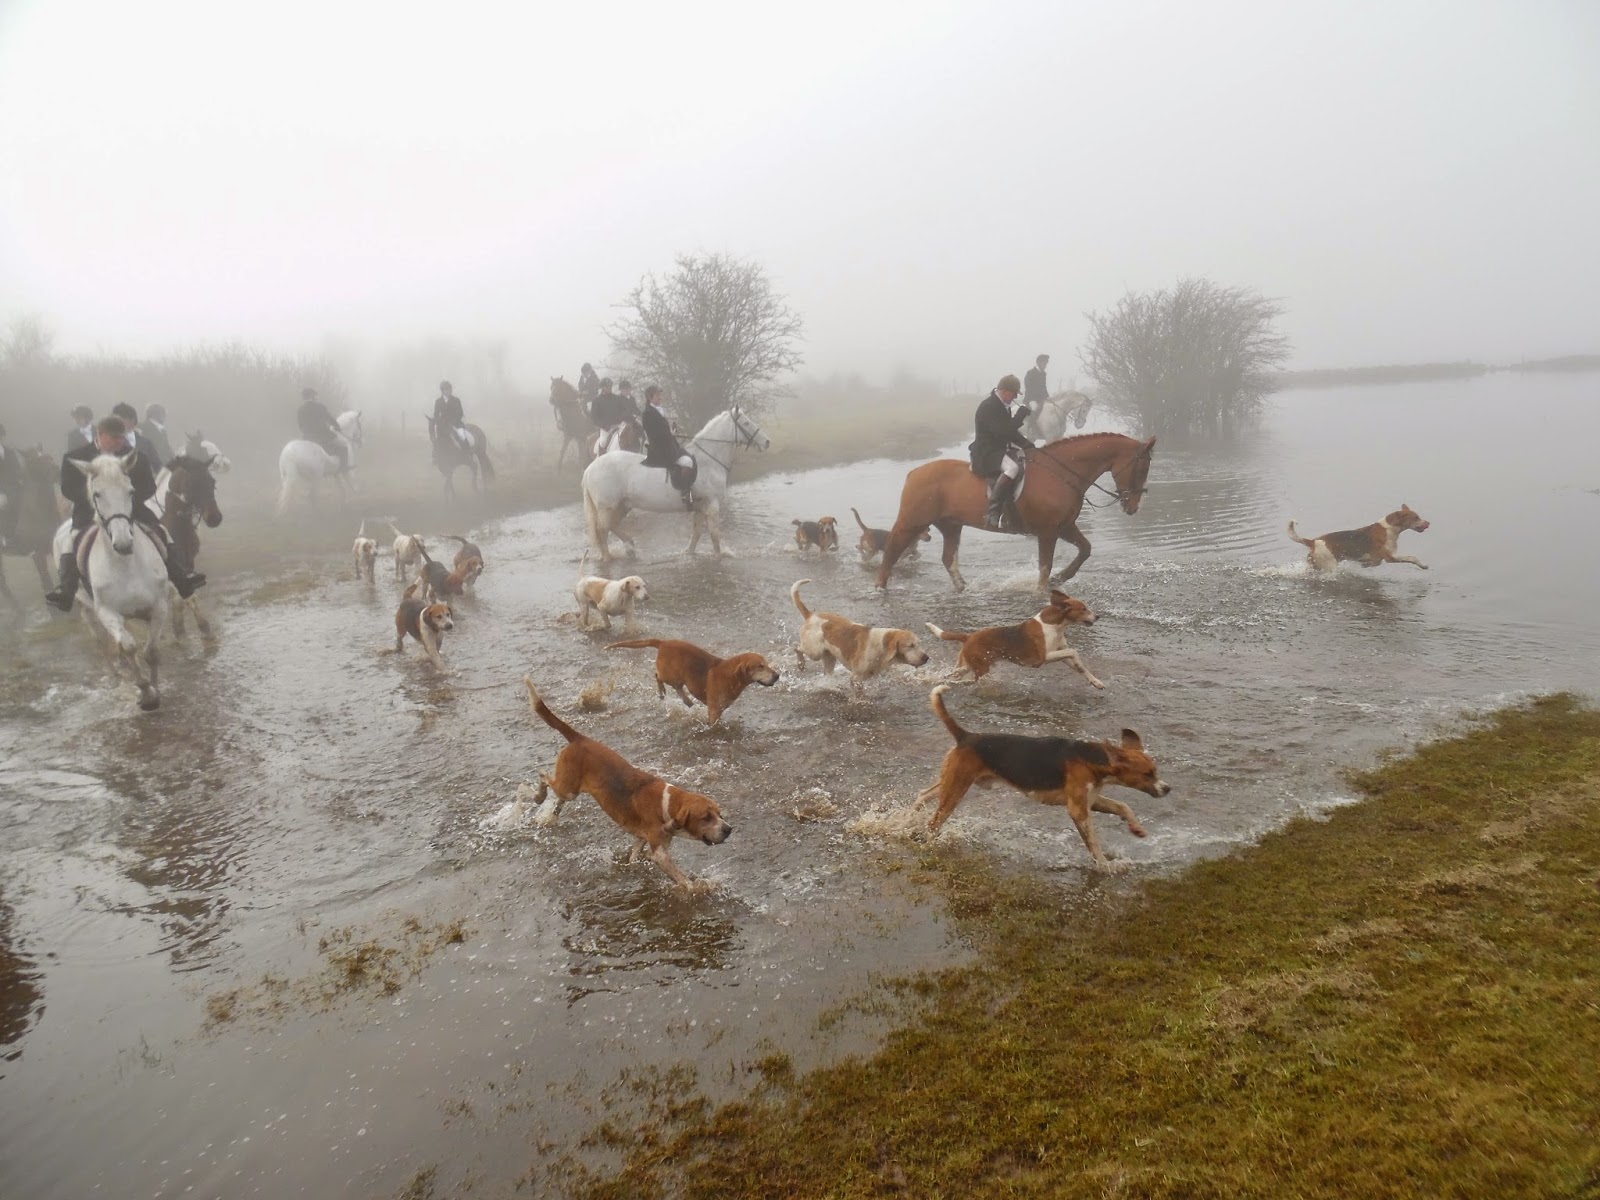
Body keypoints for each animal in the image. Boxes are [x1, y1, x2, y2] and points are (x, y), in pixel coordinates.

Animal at [58, 453, 172, 710]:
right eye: (98, 494)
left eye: (130, 491)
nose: (123, 543)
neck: (125, 565)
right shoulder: (107, 612)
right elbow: (128, 647)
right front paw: (145, 693)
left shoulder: (159, 606)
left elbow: (151, 651)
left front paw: (155, 690)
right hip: (88, 610)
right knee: (103, 642)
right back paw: (115, 677)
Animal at [152, 454, 222, 641]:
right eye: (191, 484)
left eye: (212, 481)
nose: (215, 518)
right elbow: (186, 594)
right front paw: (204, 628)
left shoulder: (187, 562)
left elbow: (181, 597)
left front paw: (180, 630)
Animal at [581, 407, 771, 564]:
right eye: (746, 423)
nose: (767, 442)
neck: (709, 460)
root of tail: (590, 468)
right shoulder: (712, 504)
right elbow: (714, 534)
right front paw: (719, 556)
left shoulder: (700, 506)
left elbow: (696, 533)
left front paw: (689, 554)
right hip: (608, 507)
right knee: (602, 530)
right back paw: (608, 558)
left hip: (623, 505)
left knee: (612, 526)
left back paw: (630, 548)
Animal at [875, 431, 1157, 593]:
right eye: (1143, 467)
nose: (1133, 506)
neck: (1061, 473)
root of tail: (914, 473)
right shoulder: (1048, 531)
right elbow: (1044, 566)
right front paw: (1043, 591)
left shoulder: (1065, 526)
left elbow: (1085, 550)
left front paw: (1060, 579)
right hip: (912, 522)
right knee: (891, 550)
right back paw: (880, 587)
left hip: (951, 525)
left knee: (948, 558)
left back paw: (963, 588)